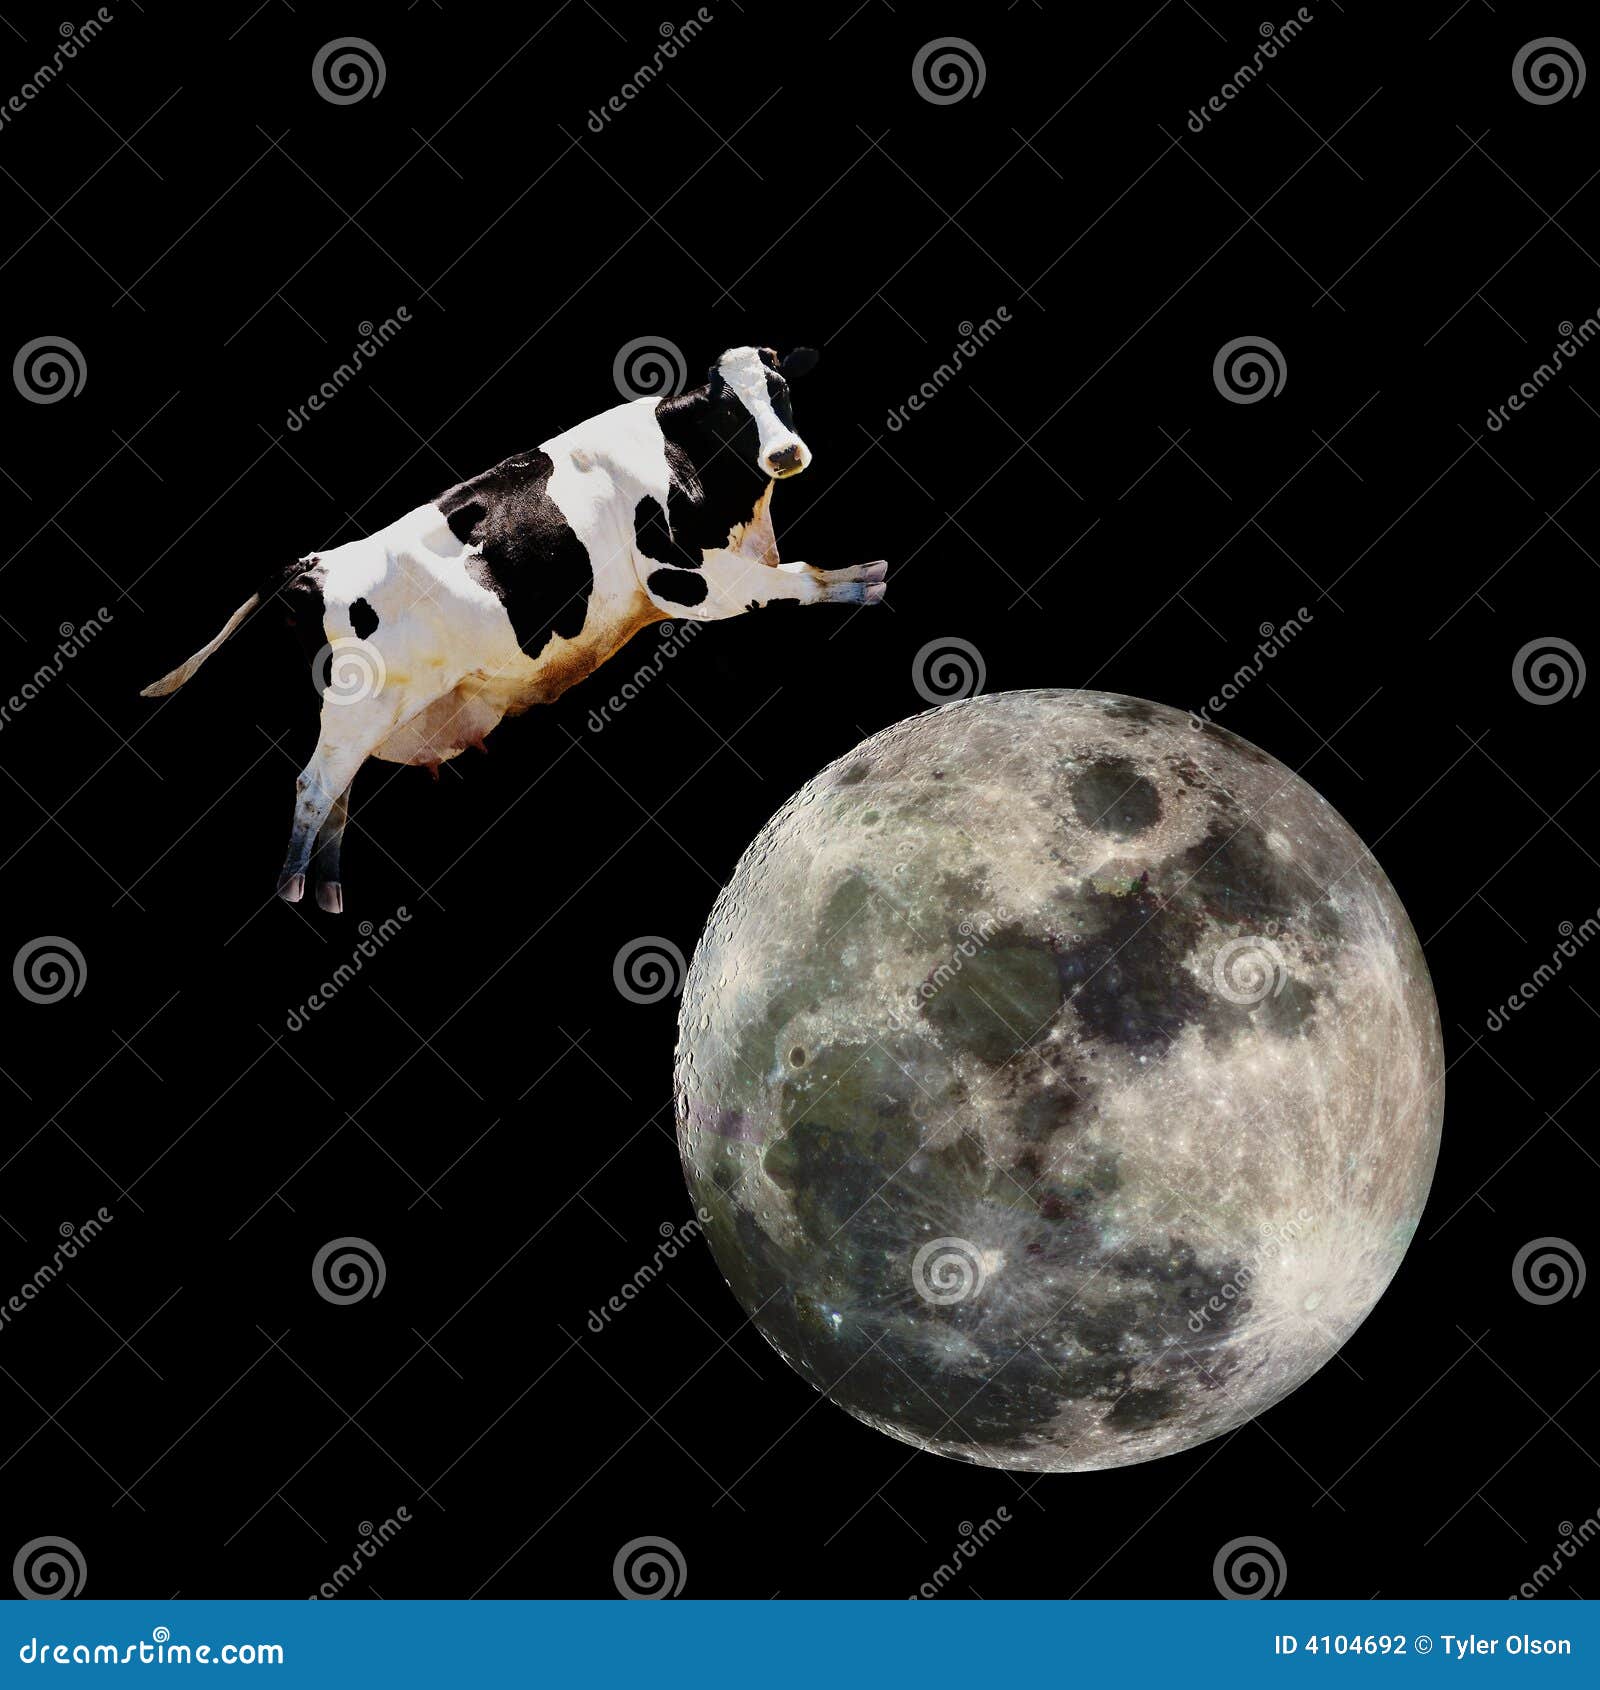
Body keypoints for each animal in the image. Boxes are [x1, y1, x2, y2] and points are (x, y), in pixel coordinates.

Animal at [140, 345, 887, 913]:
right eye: (731, 409)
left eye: (781, 392)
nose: (786, 453)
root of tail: (313, 562)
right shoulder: (687, 580)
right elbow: (797, 582)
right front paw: (863, 580)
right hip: (358, 705)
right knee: (315, 786)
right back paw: (296, 886)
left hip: (364, 715)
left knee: (339, 793)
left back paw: (327, 890)